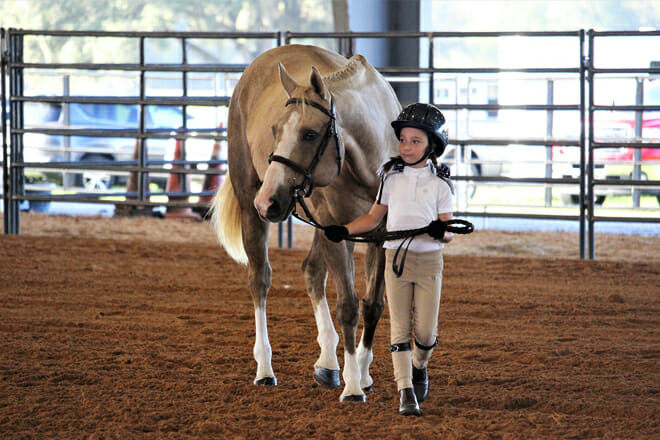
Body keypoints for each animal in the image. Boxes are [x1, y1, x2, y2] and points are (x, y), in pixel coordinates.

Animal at [212, 44, 401, 402]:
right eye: (275, 130)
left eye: (310, 134)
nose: (267, 200)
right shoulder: (337, 234)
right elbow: (349, 306)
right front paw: (353, 387)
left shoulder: (381, 235)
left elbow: (373, 304)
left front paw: (363, 374)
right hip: (251, 205)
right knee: (260, 279)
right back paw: (265, 368)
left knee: (312, 272)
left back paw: (328, 363)